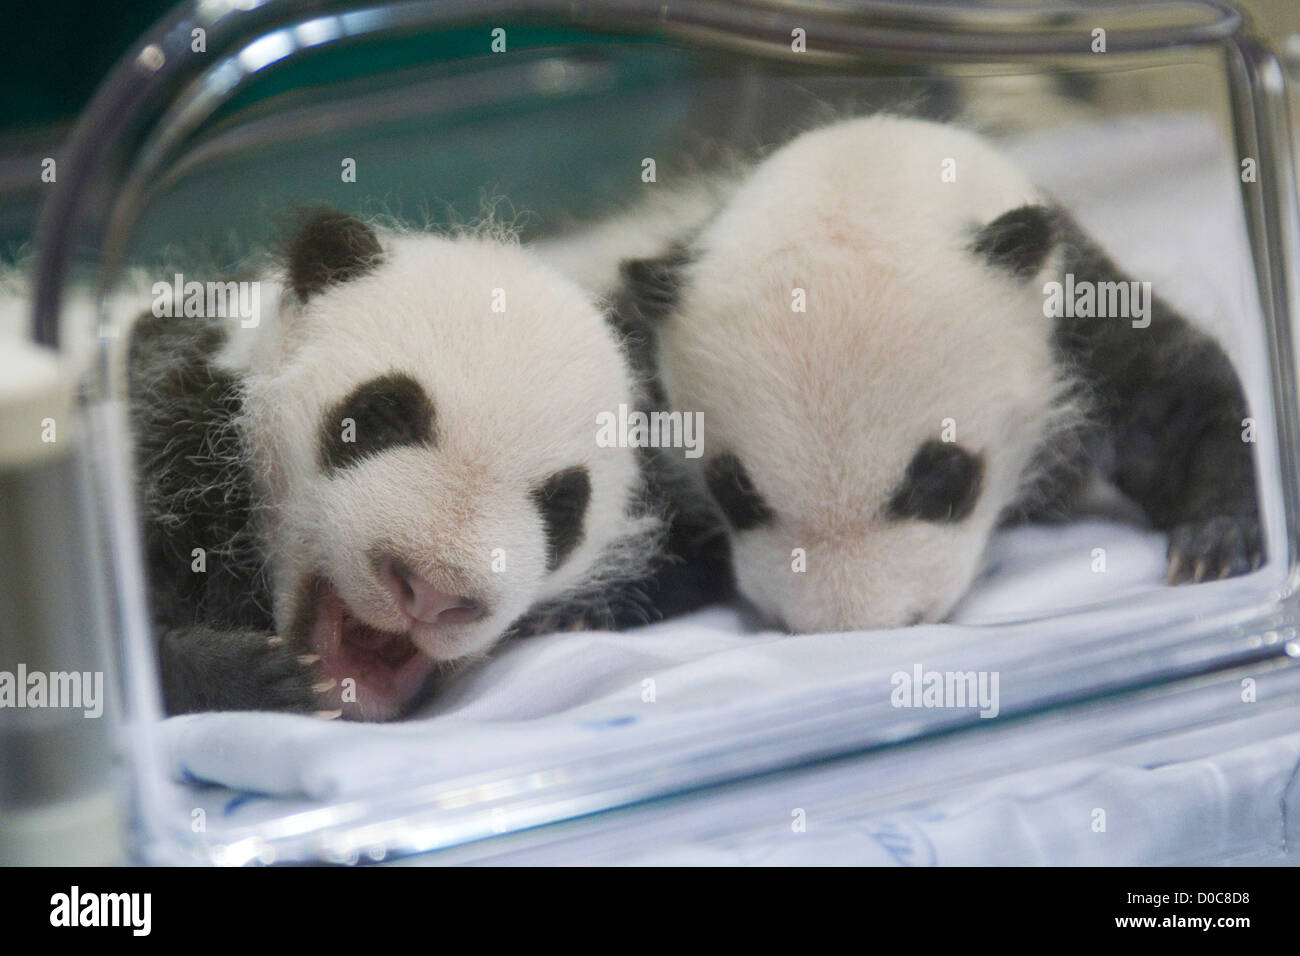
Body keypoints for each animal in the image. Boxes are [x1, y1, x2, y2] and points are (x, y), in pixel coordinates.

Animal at [128, 209, 728, 721]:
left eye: (563, 506)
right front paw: (252, 674)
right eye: (384, 416)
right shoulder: (173, 415)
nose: (433, 593)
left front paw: (574, 614)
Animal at [598, 114, 1263, 633]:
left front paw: (1212, 544)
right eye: (737, 494)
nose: (852, 625)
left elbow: (1175, 405)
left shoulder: (1068, 312)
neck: (869, 163)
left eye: (943, 479)